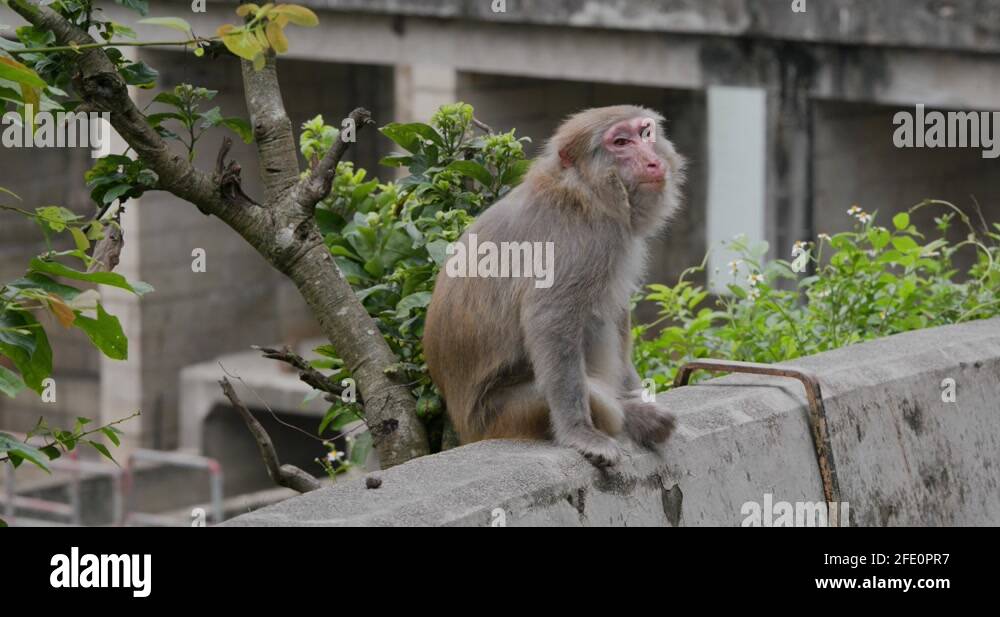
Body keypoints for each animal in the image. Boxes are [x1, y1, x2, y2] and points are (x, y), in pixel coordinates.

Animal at [423, 105, 686, 467]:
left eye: (645, 133)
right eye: (620, 142)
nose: (653, 162)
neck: (583, 193)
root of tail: (464, 429)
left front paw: (638, 393)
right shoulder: (583, 244)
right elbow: (551, 320)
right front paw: (580, 432)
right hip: (508, 414)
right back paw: (628, 417)